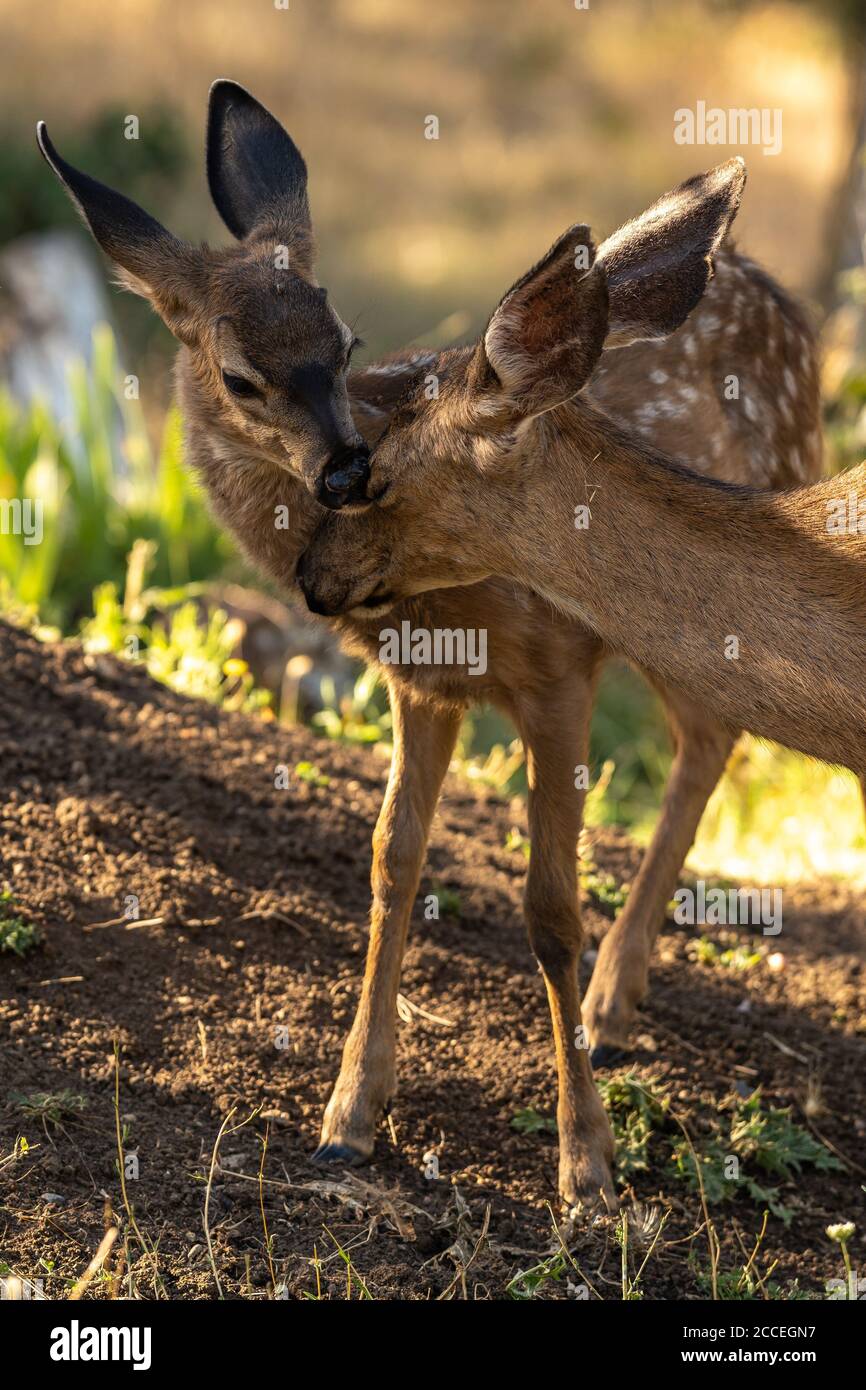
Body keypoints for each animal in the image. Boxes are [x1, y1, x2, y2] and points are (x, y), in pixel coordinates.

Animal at [39, 85, 824, 1208]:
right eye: (240, 375)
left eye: (345, 338)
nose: (342, 467)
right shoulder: (424, 683)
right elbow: (390, 863)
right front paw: (347, 1118)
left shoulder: (558, 664)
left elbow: (547, 905)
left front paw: (586, 1163)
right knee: (707, 735)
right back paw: (617, 1000)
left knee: (717, 733)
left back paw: (607, 1005)